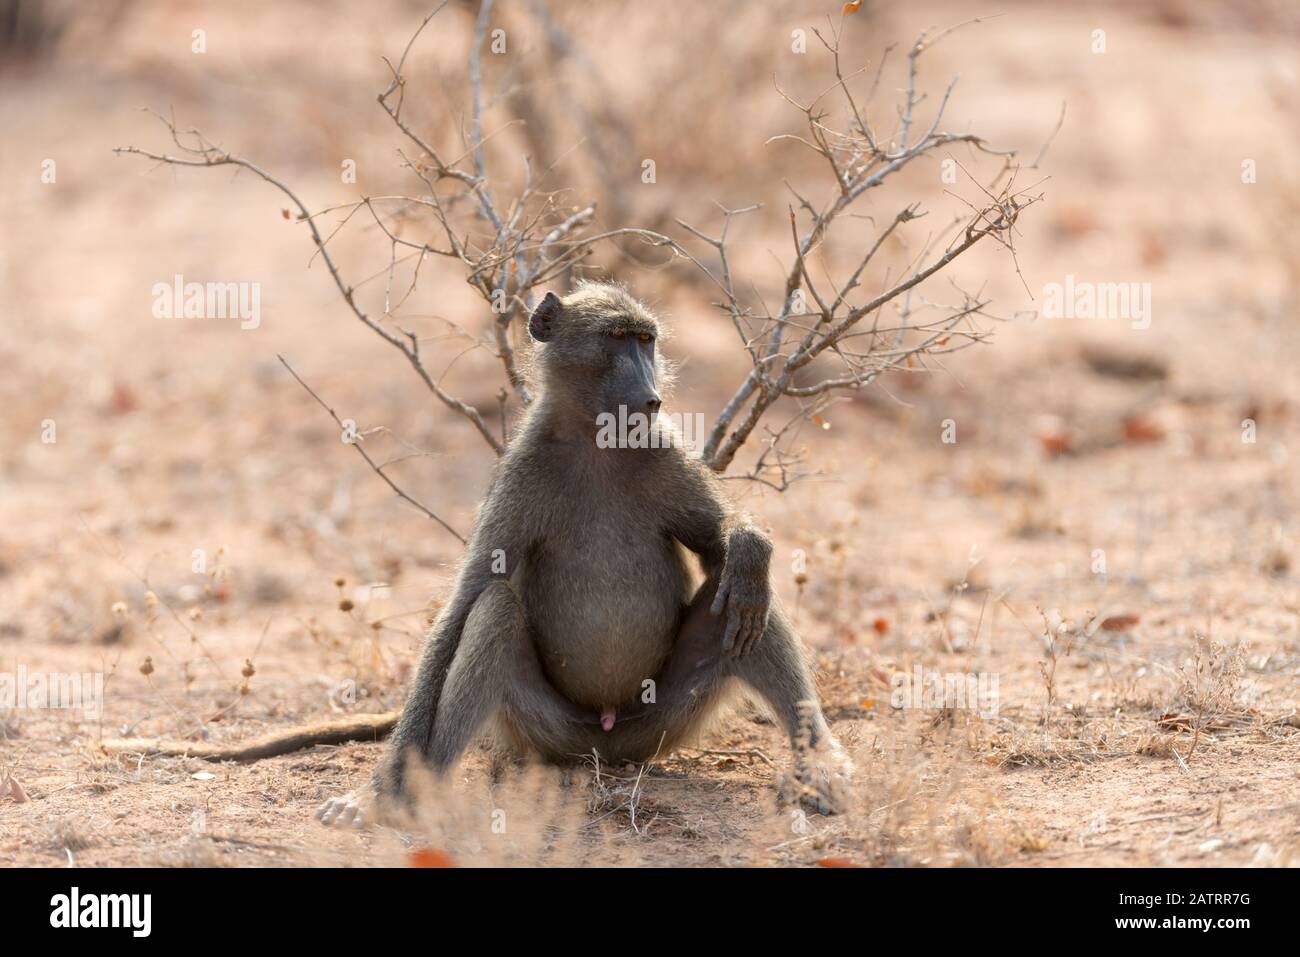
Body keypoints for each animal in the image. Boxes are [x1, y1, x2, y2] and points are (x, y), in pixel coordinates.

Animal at [317, 282, 851, 827]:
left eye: (645, 340)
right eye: (615, 338)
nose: (650, 397)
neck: (598, 439)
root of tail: (606, 739)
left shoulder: (663, 446)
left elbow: (717, 549)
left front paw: (748, 543)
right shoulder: (522, 471)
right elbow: (465, 604)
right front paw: (374, 793)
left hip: (659, 724)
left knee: (744, 599)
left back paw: (819, 764)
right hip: (547, 732)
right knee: (495, 610)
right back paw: (422, 793)